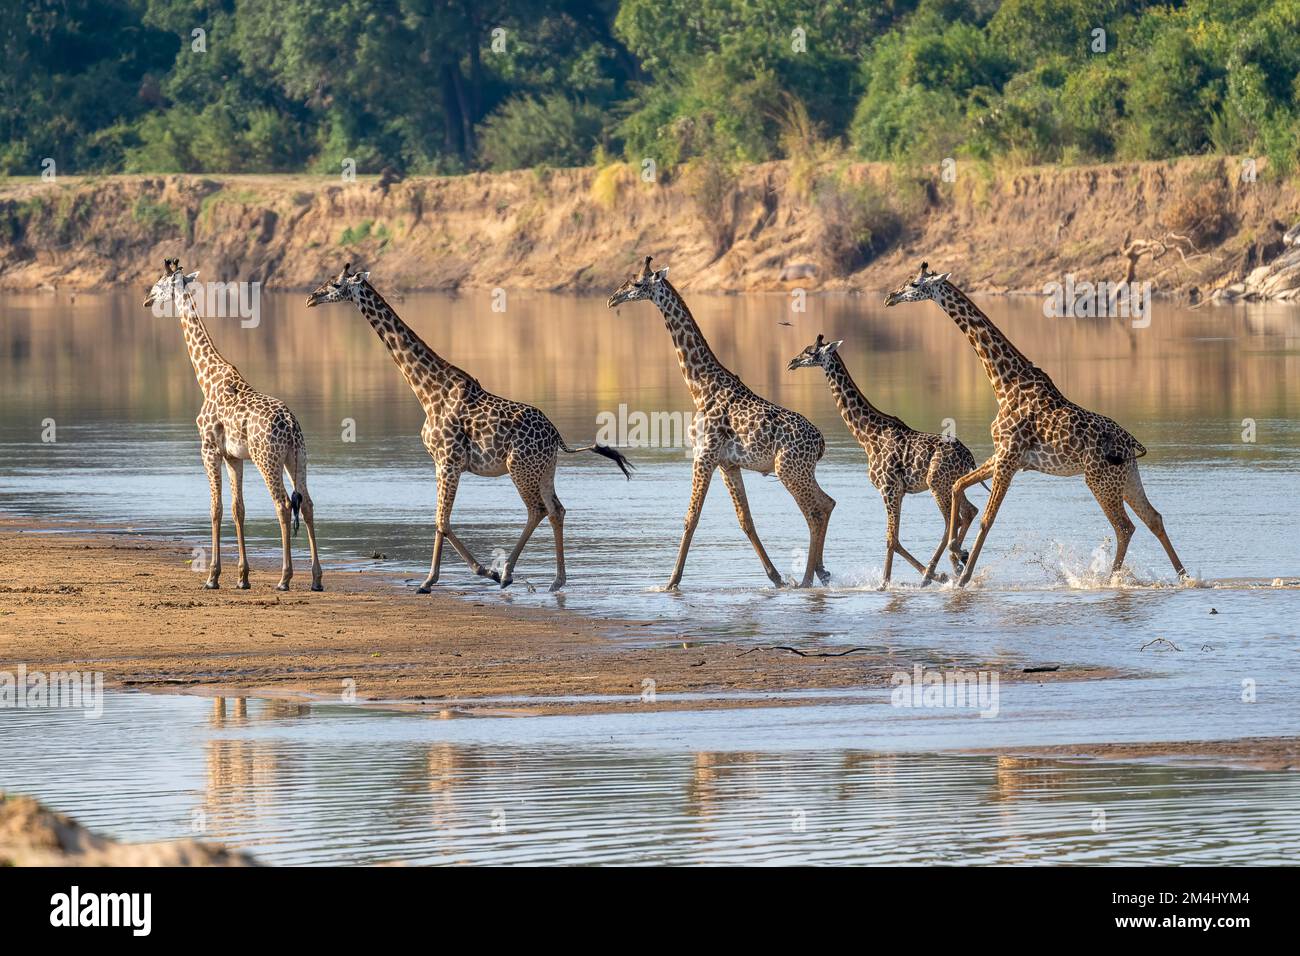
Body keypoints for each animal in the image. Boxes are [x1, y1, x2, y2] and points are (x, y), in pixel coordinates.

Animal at [144, 258, 322, 591]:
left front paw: (213, 577)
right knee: (306, 504)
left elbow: (216, 509)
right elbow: (239, 509)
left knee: (282, 505)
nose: (147, 299)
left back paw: (285, 578)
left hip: (267, 458)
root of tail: (291, 426)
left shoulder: (209, 450)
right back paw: (316, 579)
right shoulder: (233, 457)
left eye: (160, 284)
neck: (207, 378)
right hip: (298, 458)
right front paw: (242, 577)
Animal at [306, 264, 631, 592]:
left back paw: (509, 573)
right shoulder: (440, 463)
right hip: (544, 470)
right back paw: (555, 580)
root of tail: (557, 437)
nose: (311, 298)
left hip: (520, 468)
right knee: (556, 509)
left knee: (537, 509)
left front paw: (445, 578)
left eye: (336, 284)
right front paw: (442, 577)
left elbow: (442, 521)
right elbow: (440, 520)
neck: (428, 391)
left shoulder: (448, 462)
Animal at [608, 256, 834, 589]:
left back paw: (807, 579)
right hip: (799, 470)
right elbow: (746, 520)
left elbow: (691, 518)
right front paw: (776, 577)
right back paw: (819, 572)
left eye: (637, 283)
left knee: (816, 512)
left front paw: (670, 582)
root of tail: (820, 442)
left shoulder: (704, 454)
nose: (613, 298)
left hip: (789, 470)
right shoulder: (729, 463)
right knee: (827, 504)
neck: (700, 386)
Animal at [787, 334, 979, 586]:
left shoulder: (889, 488)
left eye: (810, 352)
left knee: (951, 521)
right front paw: (932, 575)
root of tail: (969, 457)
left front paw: (884, 584)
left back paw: (941, 567)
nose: (792, 362)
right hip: (951, 484)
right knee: (969, 512)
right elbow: (894, 539)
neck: (868, 436)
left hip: (937, 484)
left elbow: (891, 539)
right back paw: (953, 563)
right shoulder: (898, 491)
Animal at [884, 263, 1188, 586]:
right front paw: (954, 553)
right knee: (1153, 518)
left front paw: (964, 576)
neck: (1004, 383)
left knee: (1124, 527)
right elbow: (957, 484)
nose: (890, 297)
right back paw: (1184, 576)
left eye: (914, 284)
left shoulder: (1008, 457)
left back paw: (1110, 580)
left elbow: (987, 518)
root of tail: (1133, 444)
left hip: (1099, 480)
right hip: (1127, 476)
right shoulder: (1005, 456)